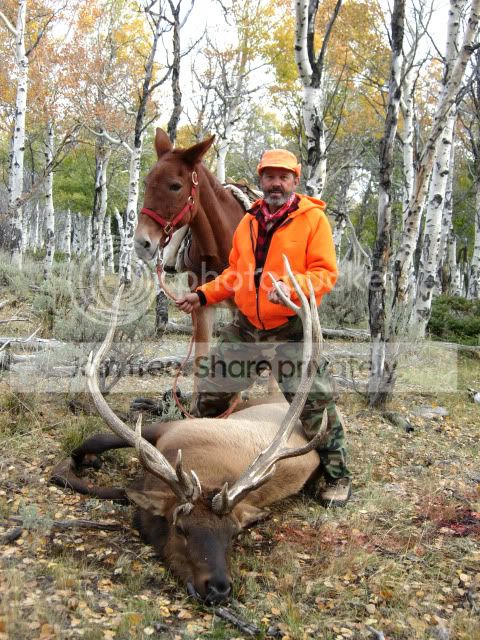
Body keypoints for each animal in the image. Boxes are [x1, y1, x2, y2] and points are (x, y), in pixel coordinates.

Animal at [51, 257, 326, 604]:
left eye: (234, 533)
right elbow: (94, 443)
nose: (219, 588)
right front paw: (81, 461)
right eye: (180, 528)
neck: (204, 468)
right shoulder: (171, 428)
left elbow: (119, 490)